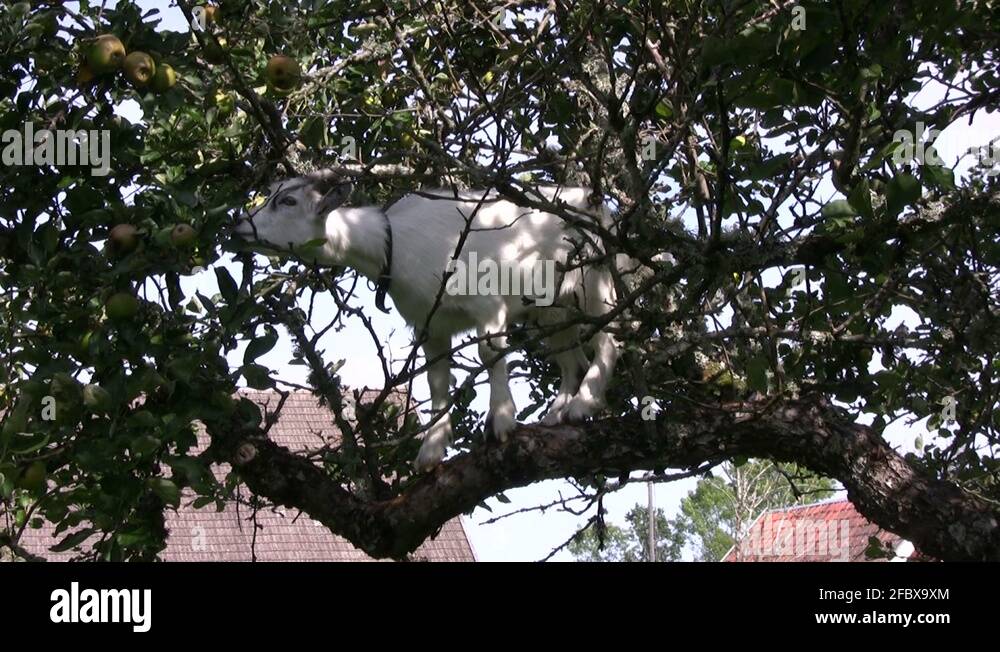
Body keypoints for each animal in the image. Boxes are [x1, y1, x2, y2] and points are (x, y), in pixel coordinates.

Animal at [235, 170, 622, 471]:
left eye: (287, 201)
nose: (238, 224)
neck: (393, 245)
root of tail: (597, 205)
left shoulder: (488, 306)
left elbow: (489, 355)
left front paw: (501, 422)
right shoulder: (430, 326)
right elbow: (436, 381)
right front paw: (430, 452)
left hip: (594, 282)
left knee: (608, 339)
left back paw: (584, 404)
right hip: (552, 310)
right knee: (571, 359)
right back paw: (558, 413)